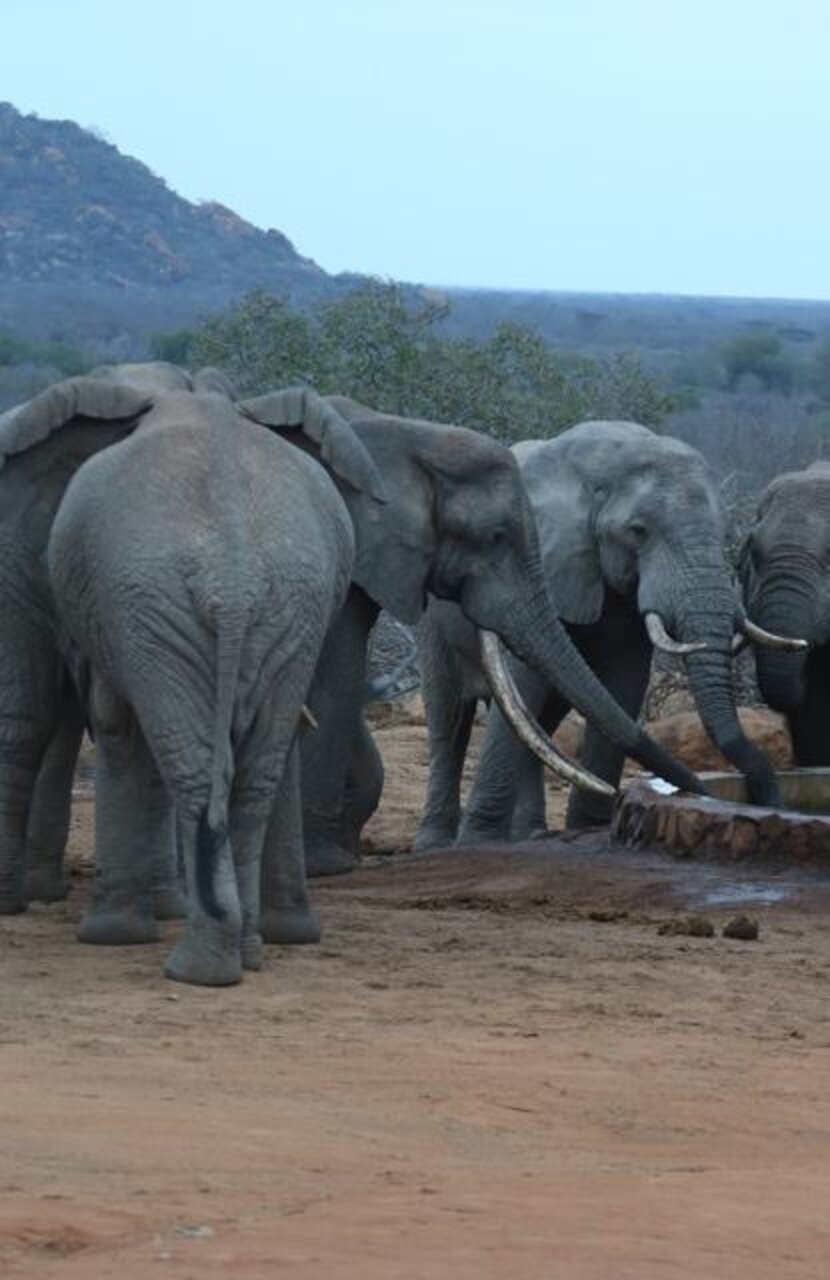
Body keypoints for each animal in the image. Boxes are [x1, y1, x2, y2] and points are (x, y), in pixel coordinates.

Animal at [46, 381, 381, 985]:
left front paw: (109, 938)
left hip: (154, 603)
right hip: (288, 605)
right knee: (253, 777)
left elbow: (113, 721)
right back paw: (244, 953)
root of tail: (233, 577)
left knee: (197, 771)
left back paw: (198, 969)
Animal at [414, 419, 787, 852]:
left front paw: (589, 827)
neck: (607, 459)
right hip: (433, 622)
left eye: (726, 533)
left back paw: (530, 833)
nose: (759, 800)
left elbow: (624, 683)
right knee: (450, 718)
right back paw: (437, 844)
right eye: (638, 531)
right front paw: (479, 844)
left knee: (542, 723)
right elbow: (524, 684)